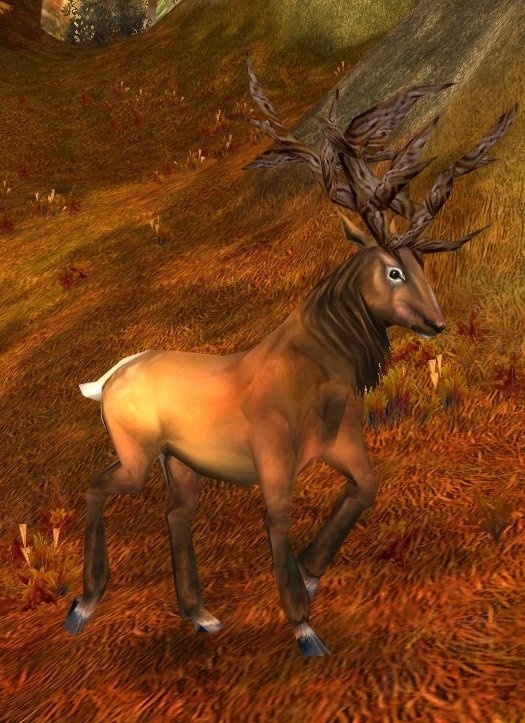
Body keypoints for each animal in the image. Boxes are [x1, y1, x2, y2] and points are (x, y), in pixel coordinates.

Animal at [64, 56, 516, 656]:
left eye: (422, 263)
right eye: (394, 270)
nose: (437, 322)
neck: (327, 377)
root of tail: (106, 379)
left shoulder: (344, 443)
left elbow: (365, 491)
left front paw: (309, 572)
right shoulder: (272, 452)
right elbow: (277, 516)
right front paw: (303, 623)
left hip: (181, 463)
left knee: (175, 513)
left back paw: (200, 613)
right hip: (137, 449)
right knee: (97, 487)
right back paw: (83, 603)